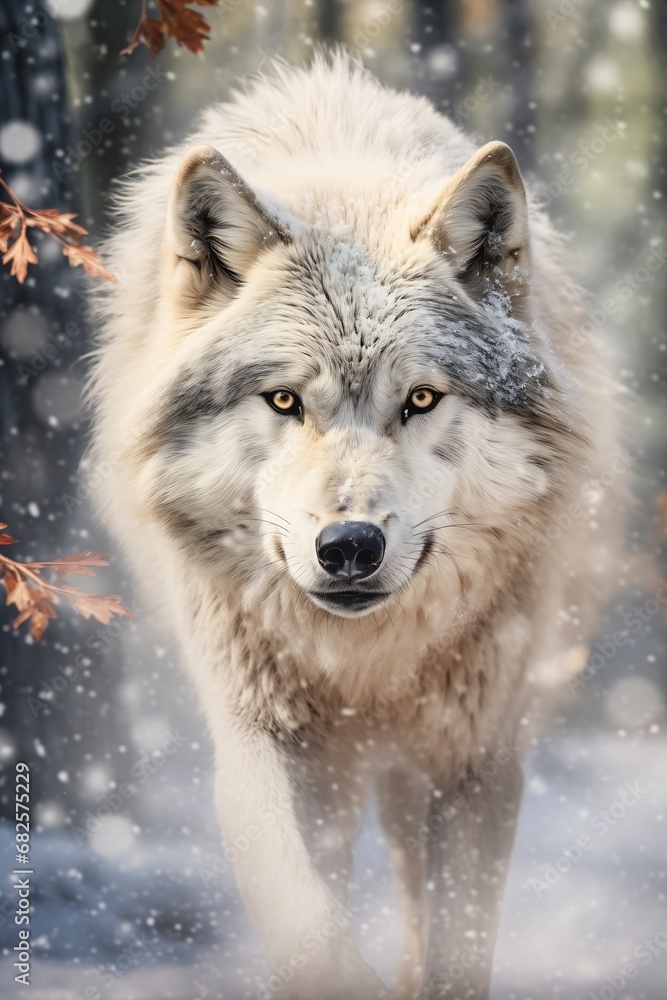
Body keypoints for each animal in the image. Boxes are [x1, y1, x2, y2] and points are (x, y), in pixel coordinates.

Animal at [88, 52, 622, 1000]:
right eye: (283, 400)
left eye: (420, 399)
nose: (347, 548)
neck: (365, 663)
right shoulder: (267, 742)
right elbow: (309, 924)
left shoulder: (478, 757)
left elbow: (453, 947)